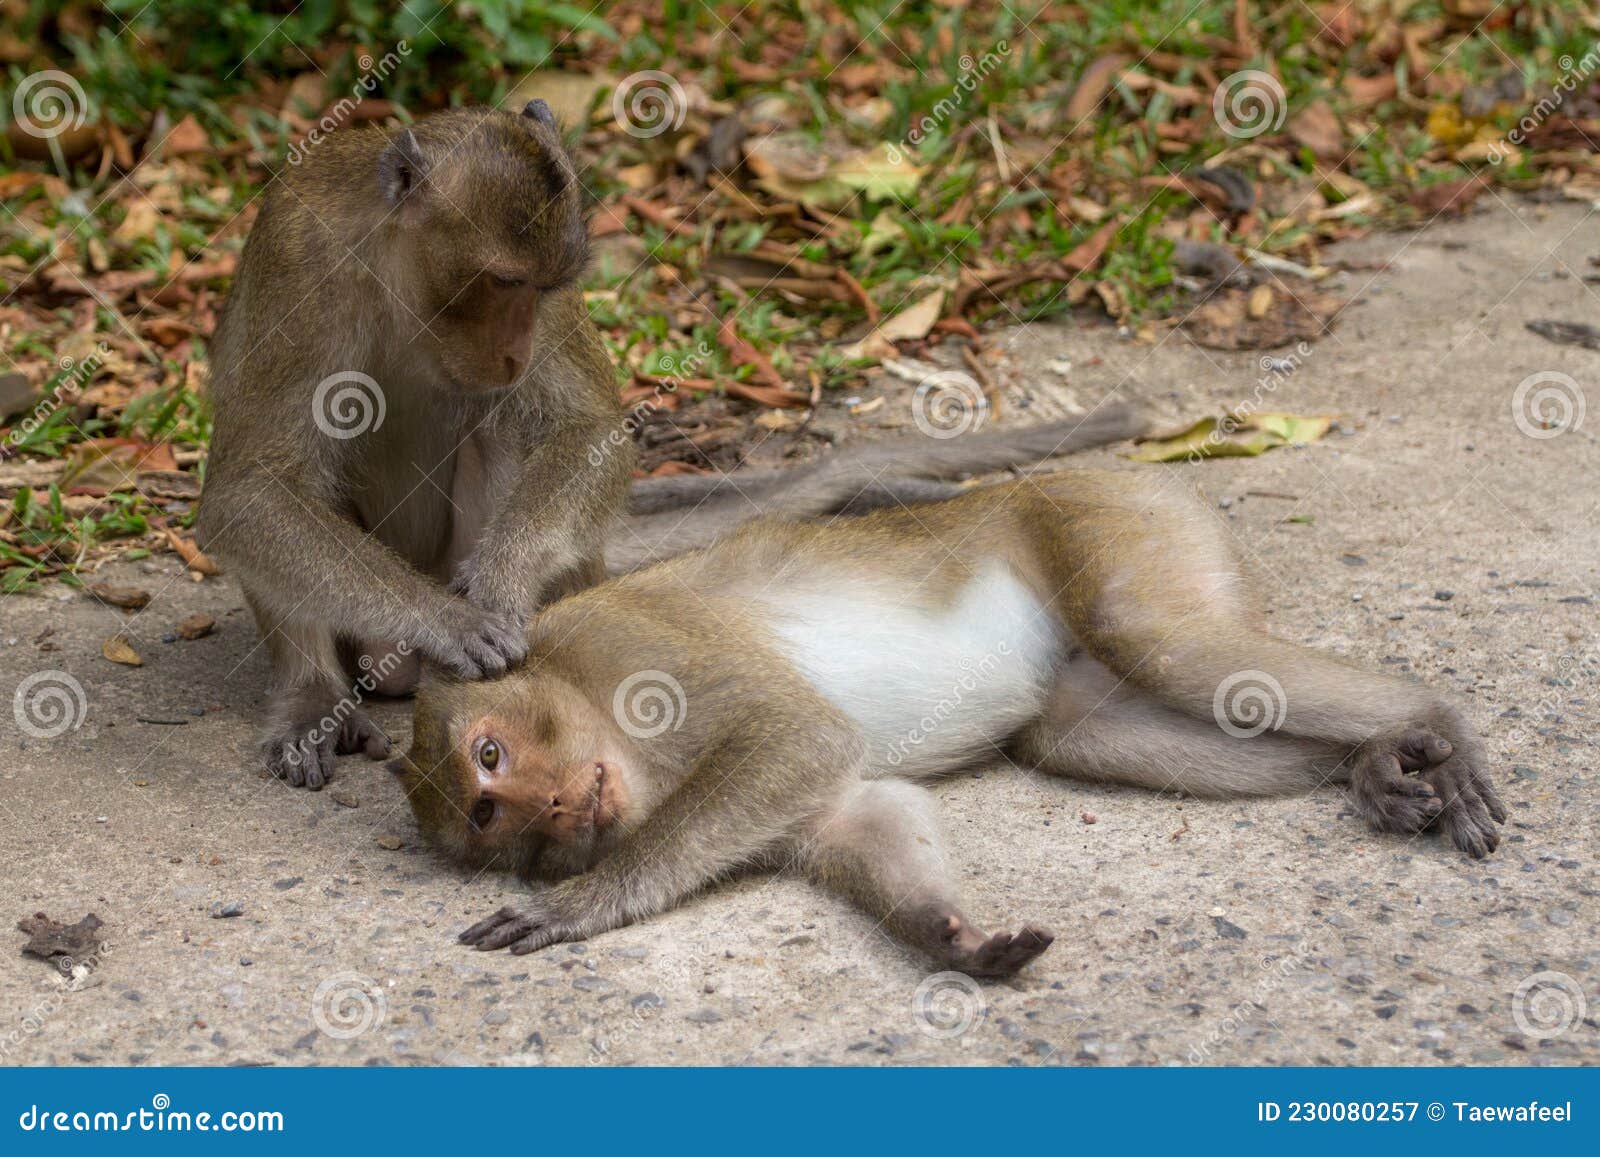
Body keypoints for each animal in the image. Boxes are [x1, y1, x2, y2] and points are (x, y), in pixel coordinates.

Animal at [198, 101, 631, 791]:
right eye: (503, 281)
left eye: (544, 288)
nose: (517, 352)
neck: (394, 270)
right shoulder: (299, 258)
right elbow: (251, 490)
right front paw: (453, 622)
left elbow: (589, 430)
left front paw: (501, 584)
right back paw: (314, 696)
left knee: (501, 416)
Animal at [389, 466, 1506, 976]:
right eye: (489, 822)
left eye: (491, 756)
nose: (547, 809)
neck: (582, 700)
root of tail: (1143, 469)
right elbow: (861, 811)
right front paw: (954, 937)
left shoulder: (632, 646)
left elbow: (795, 738)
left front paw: (579, 903)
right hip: (1091, 655)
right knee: (1078, 732)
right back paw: (1369, 760)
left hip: (1117, 521)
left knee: (1163, 641)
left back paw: (1427, 715)